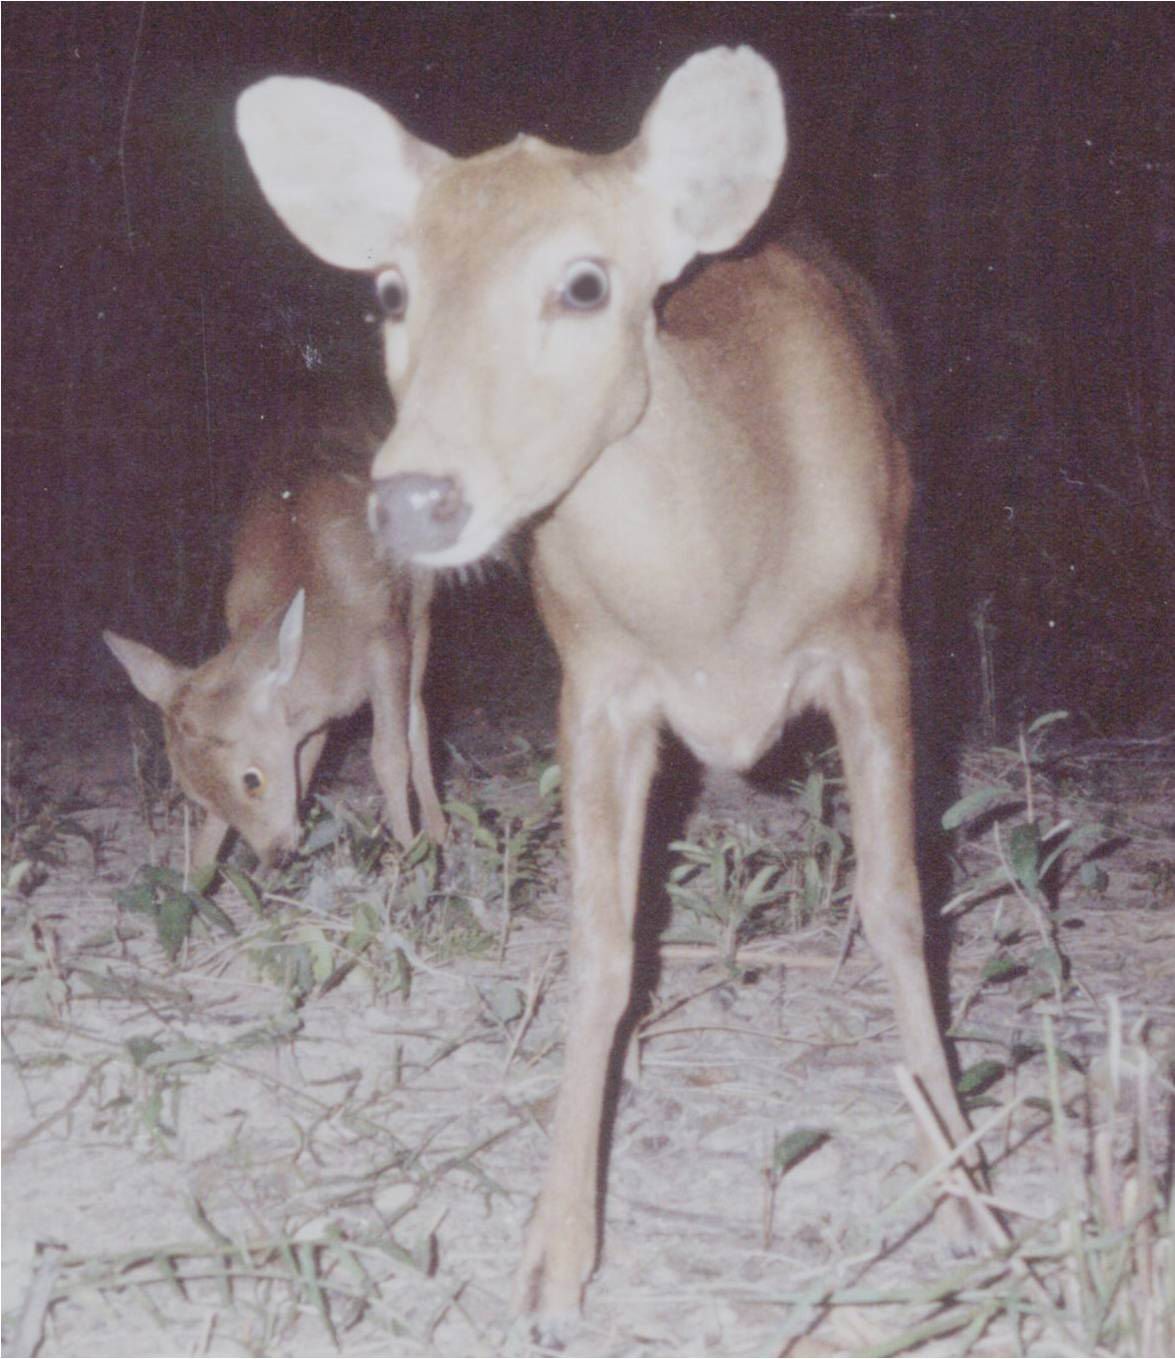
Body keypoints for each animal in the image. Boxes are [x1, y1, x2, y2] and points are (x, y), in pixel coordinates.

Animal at [105, 421, 447, 872]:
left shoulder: (387, 642)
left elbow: (390, 755)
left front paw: (409, 861)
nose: (277, 856)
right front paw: (199, 878)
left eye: (252, 780)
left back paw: (440, 832)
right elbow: (304, 766)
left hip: (421, 608)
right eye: (196, 795)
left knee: (418, 718)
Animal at [236, 45, 977, 1322]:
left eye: (583, 283)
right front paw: (554, 1248)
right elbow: (598, 937)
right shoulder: (594, 684)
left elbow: (893, 903)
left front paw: (965, 1186)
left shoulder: (871, 641)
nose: (412, 498)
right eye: (389, 291)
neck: (720, 580)